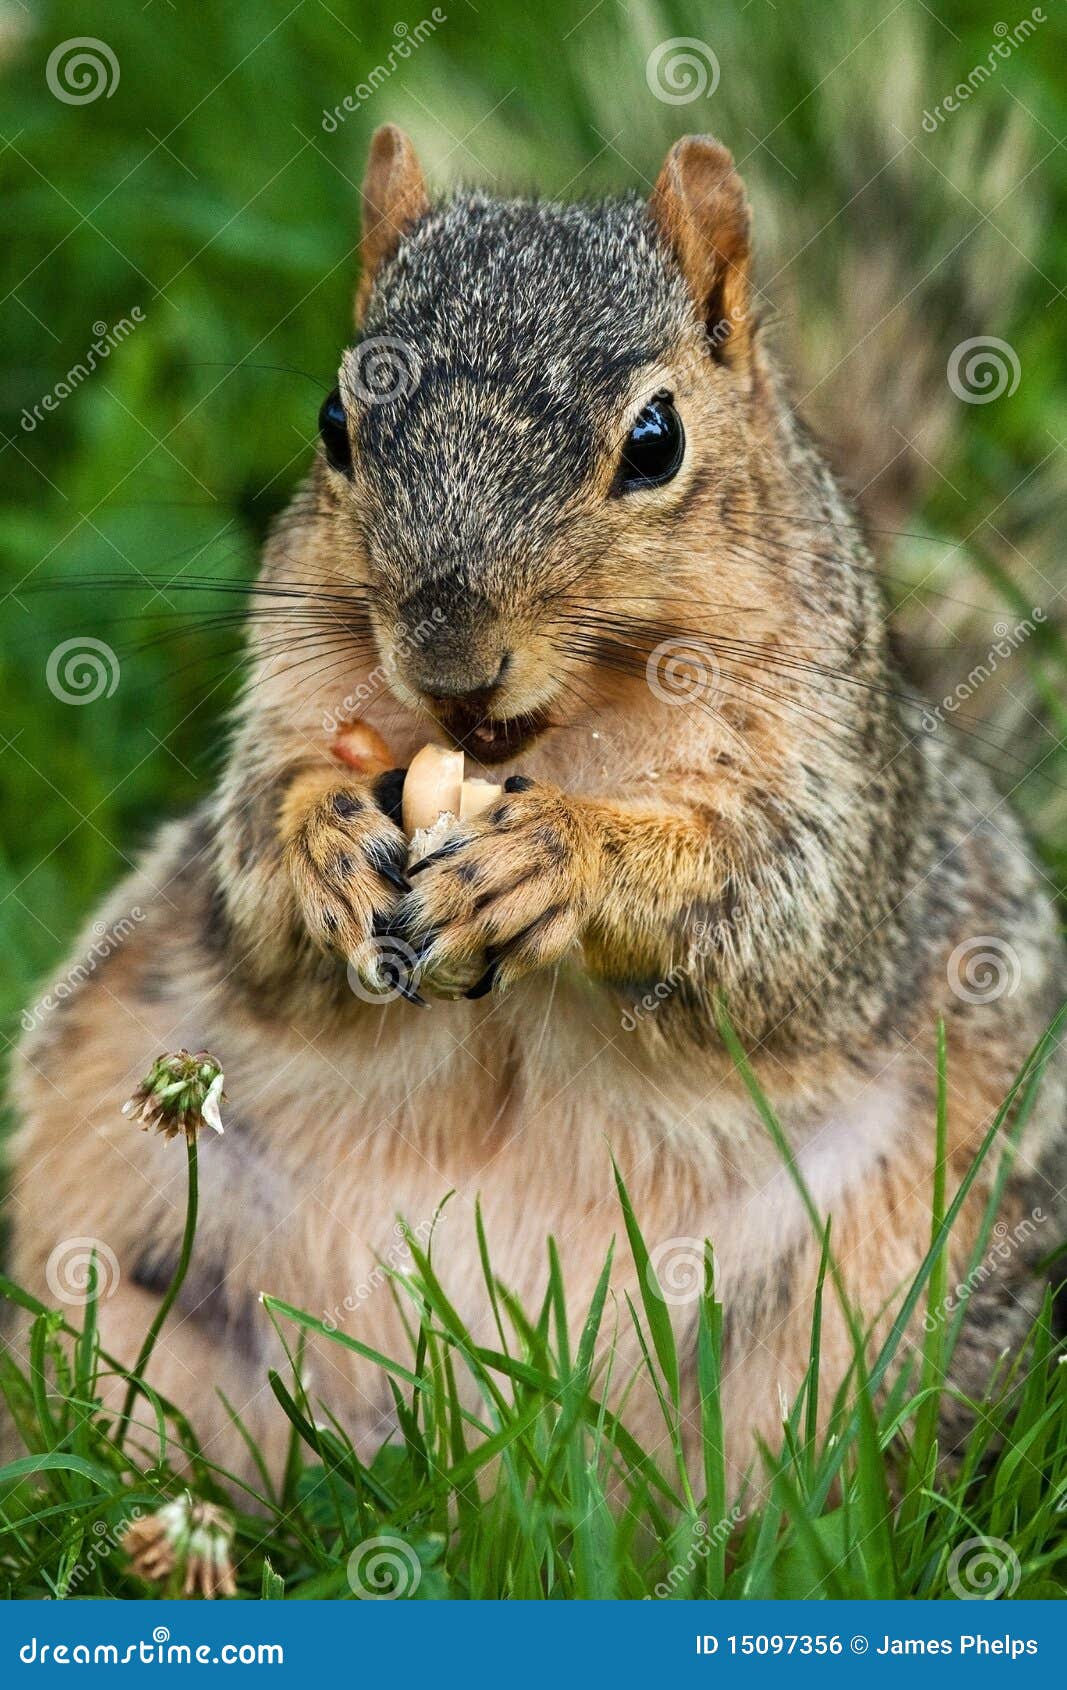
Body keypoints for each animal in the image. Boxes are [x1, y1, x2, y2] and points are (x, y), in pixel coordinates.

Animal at [9, 126, 1066, 1493]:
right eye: (335, 423)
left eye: (656, 440)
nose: (449, 655)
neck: (556, 734)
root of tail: (484, 1455)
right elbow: (252, 873)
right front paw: (323, 842)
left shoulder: (844, 808)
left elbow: (777, 921)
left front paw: (557, 863)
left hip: (903, 1305)